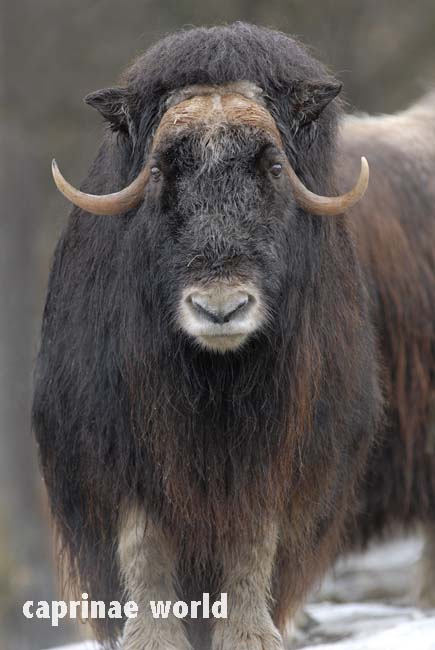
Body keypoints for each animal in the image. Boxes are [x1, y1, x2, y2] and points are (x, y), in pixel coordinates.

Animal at [32, 22, 435, 650]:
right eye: (162, 171)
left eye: (272, 168)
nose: (219, 308)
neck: (214, 375)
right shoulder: (115, 441)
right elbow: (143, 541)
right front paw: (154, 639)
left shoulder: (281, 448)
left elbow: (255, 539)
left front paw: (250, 636)